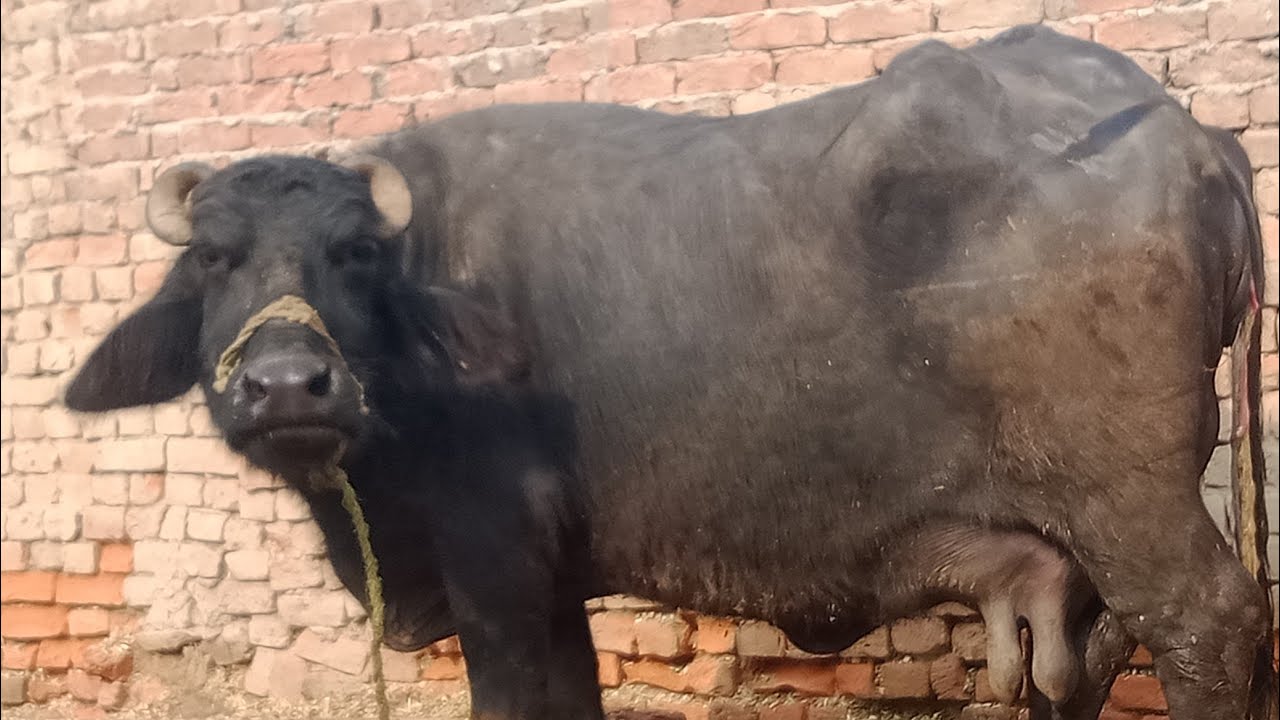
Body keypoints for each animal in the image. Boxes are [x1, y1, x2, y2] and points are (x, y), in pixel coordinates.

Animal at [66, 25, 1274, 720]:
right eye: (212, 259)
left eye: (354, 253)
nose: (285, 386)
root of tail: (1192, 135)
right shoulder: (553, 584)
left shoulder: (498, 564)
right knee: (1106, 654)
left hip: (1131, 504)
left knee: (1210, 632)